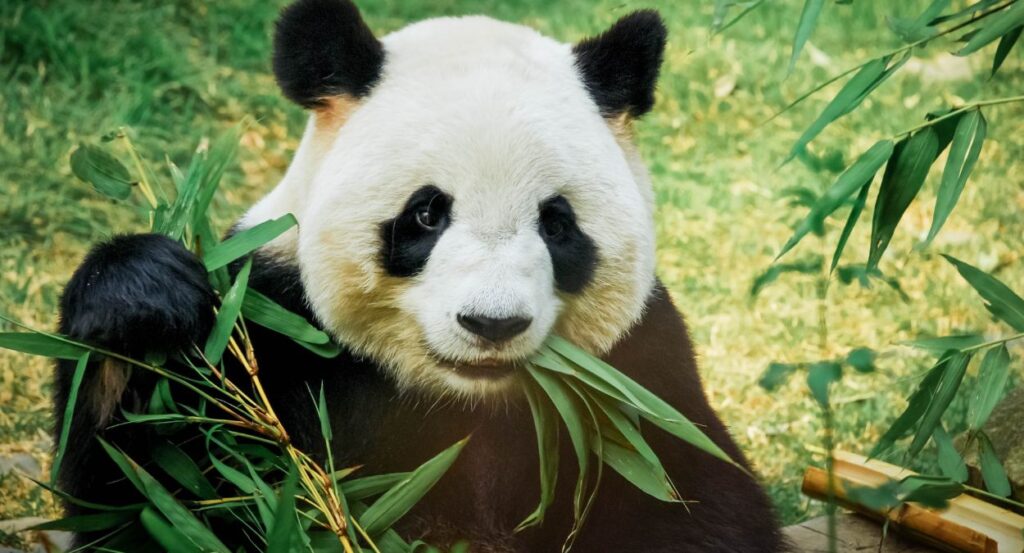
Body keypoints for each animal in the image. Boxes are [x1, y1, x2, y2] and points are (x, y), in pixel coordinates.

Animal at [54, 0, 786, 551]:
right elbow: (158, 493)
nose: (492, 323)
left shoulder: (635, 369)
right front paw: (142, 301)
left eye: (556, 223)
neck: (461, 399)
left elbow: (696, 497)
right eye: (427, 213)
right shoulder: (274, 322)